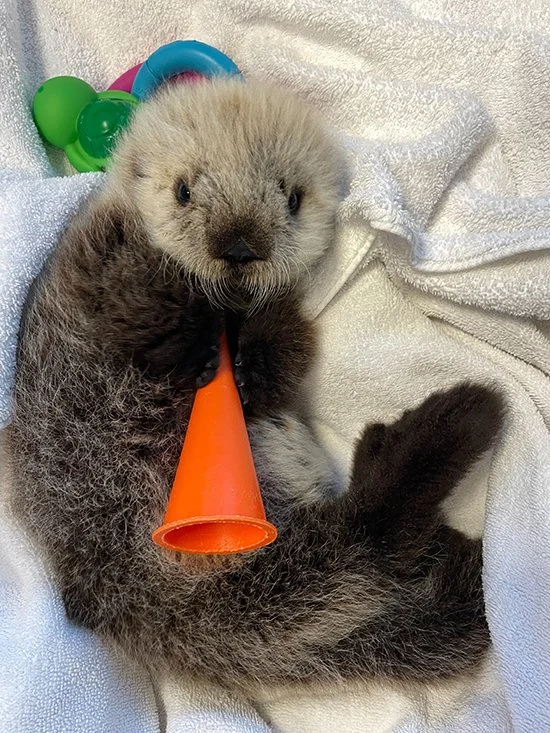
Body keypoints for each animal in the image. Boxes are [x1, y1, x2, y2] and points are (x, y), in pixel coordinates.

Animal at [6, 78, 503, 694]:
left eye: (293, 198)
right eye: (183, 191)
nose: (240, 247)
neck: (226, 311)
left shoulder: (283, 307)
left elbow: (286, 341)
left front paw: (253, 374)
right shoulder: (102, 255)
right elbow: (136, 296)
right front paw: (197, 351)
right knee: (369, 534)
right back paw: (444, 434)